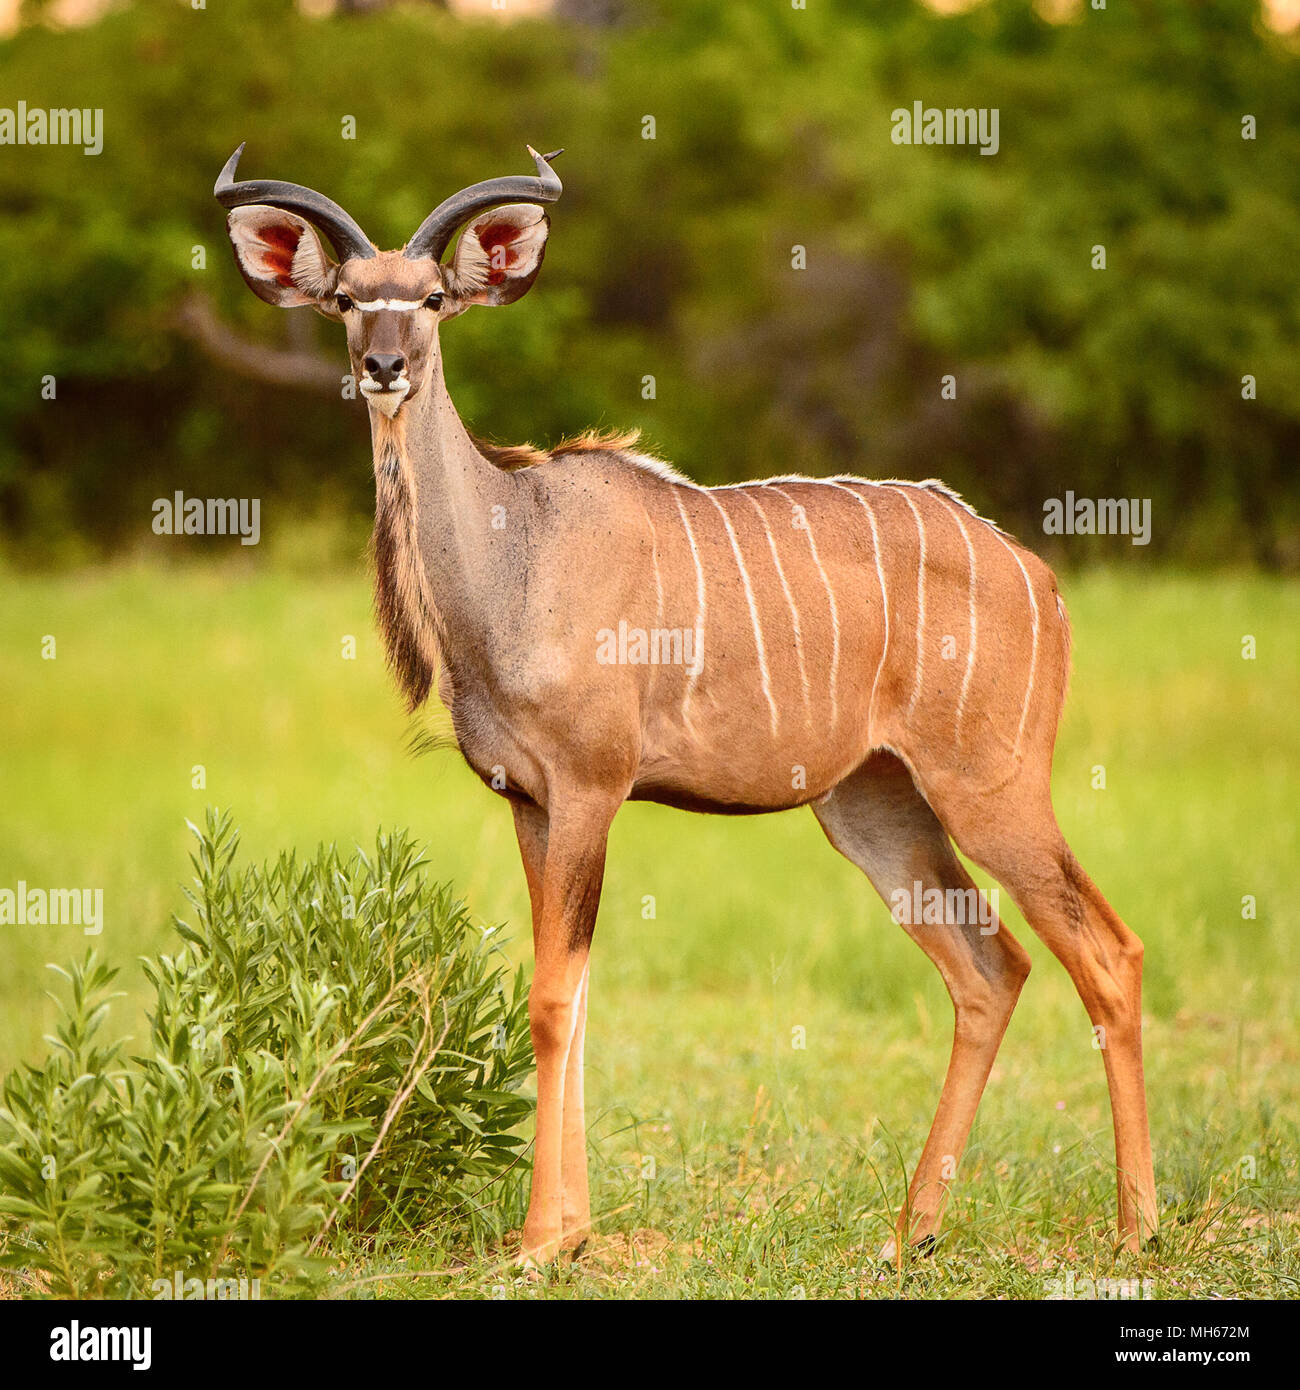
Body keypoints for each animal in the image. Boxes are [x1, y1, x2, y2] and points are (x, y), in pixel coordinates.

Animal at [215, 144, 1158, 1267]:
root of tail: (1038, 576)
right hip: (871, 806)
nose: (384, 367)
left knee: (1105, 952)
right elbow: (572, 989)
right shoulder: (530, 803)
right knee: (988, 967)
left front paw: (539, 1242)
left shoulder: (589, 789)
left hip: (990, 788)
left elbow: (551, 996)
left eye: (435, 297)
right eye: (349, 300)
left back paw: (1136, 1229)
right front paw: (573, 1232)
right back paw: (911, 1232)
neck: (514, 553)